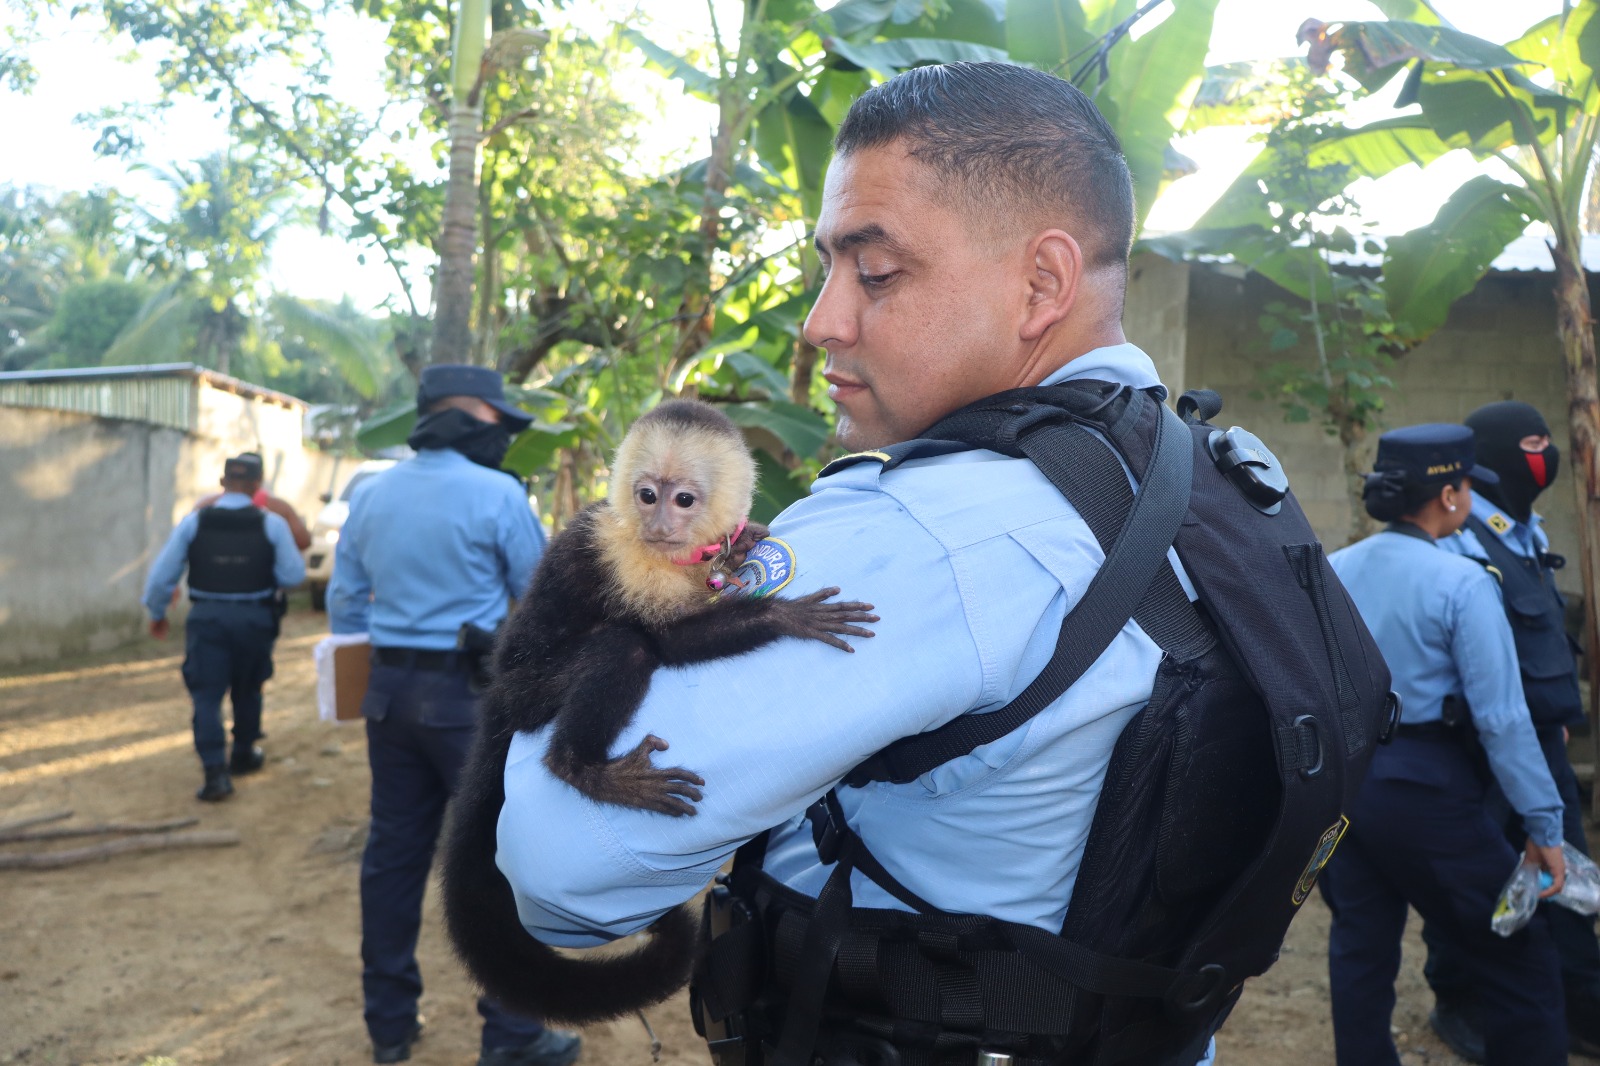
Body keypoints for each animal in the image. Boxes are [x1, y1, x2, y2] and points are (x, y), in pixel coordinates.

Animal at [440, 398, 877, 1026]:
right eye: (647, 495)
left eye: (684, 500)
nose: (658, 523)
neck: (672, 553)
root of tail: (497, 695)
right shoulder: (623, 553)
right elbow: (667, 640)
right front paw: (785, 617)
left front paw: (740, 547)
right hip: (530, 692)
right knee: (624, 645)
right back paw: (582, 768)